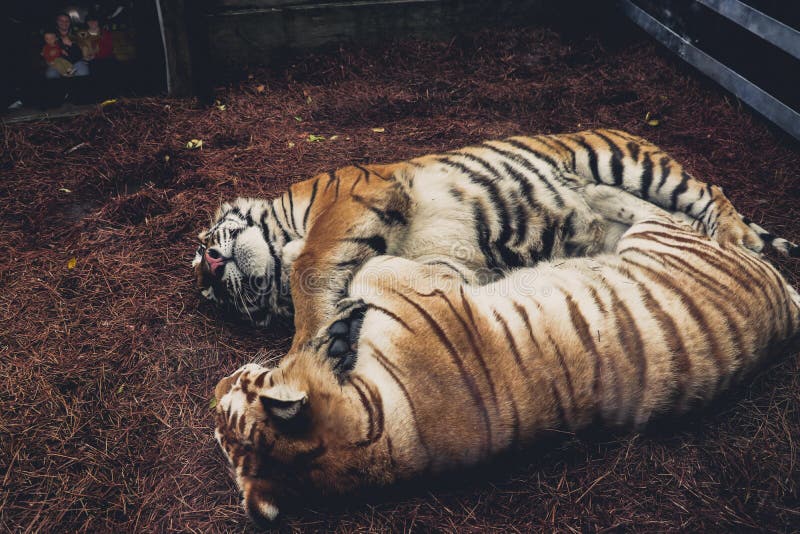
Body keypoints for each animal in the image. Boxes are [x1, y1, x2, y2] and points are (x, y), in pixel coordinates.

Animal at [193, 128, 799, 349]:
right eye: (218, 299)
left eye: (200, 252)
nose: (214, 269)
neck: (283, 228)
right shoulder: (445, 263)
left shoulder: (350, 199)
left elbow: (307, 268)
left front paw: (304, 344)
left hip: (627, 160)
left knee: (712, 191)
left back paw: (736, 237)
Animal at [213, 184, 800, 525]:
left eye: (231, 399)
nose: (218, 384)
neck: (364, 436)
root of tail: (788, 308)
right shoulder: (422, 284)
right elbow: (366, 268)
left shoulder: (416, 283)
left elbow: (354, 267)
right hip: (657, 240)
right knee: (653, 213)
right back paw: (596, 191)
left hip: (661, 240)